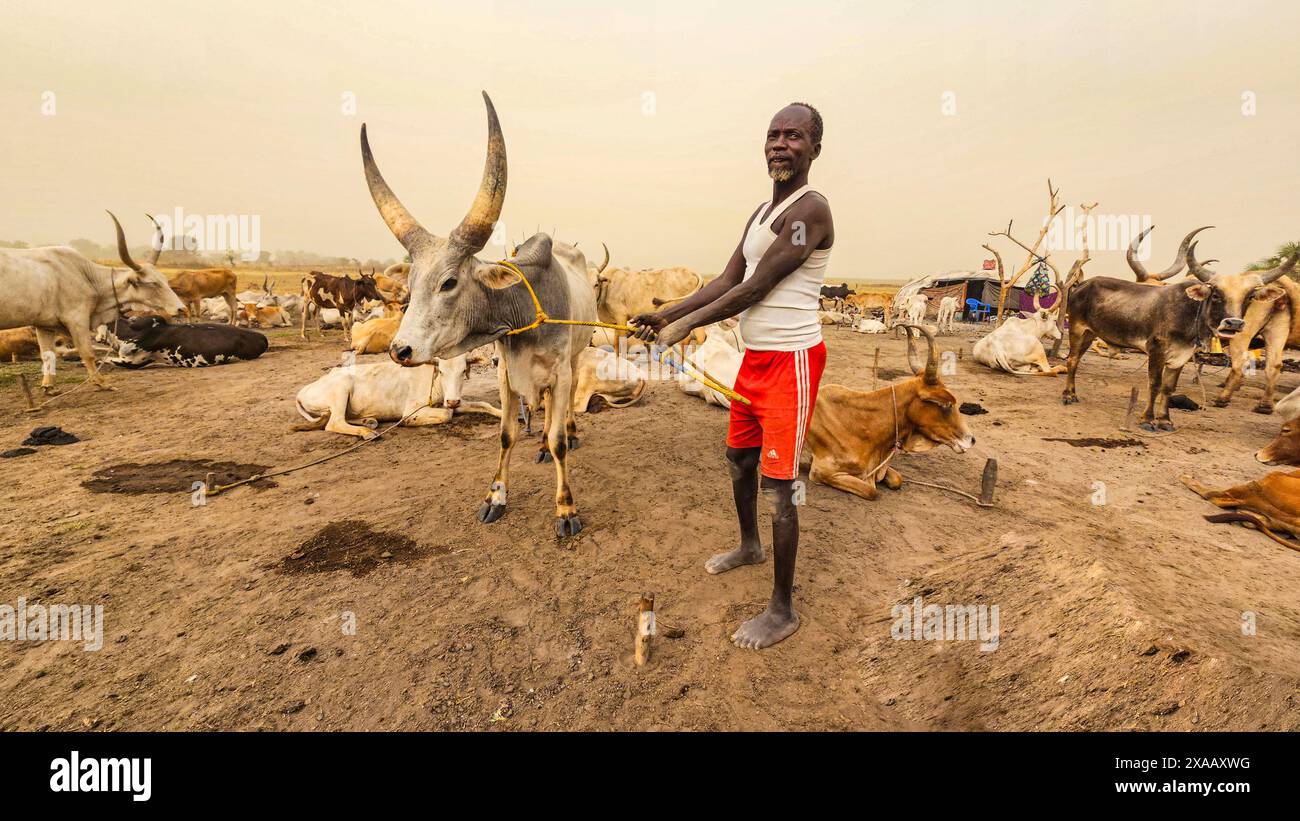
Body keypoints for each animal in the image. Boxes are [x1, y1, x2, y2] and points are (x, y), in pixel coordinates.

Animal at [0, 212, 186, 389]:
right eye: (153, 283)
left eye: (165, 280)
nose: (182, 309)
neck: (87, 276)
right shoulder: (77, 320)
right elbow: (87, 353)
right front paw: (102, 383)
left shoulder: (44, 325)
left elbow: (48, 355)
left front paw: (49, 386)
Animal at [291, 355, 499, 438]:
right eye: (441, 371)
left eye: (463, 370)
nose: (453, 400)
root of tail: (303, 391)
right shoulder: (412, 409)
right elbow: (446, 415)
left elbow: (484, 404)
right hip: (341, 389)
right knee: (334, 422)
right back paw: (366, 432)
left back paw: (369, 422)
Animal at [370, 92, 599, 536]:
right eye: (412, 283)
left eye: (448, 282)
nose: (400, 350)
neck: (524, 312)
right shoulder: (507, 373)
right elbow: (507, 435)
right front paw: (496, 497)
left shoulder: (561, 372)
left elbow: (560, 439)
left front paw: (565, 508)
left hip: (578, 357)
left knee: (562, 415)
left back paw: (567, 434)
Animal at [803, 326, 975, 500]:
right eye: (946, 404)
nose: (971, 439)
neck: (865, 425)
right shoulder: (821, 471)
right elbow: (872, 491)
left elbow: (898, 479)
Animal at [1061, 226, 1287, 431]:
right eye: (1215, 294)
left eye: (1249, 297)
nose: (1234, 323)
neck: (1190, 314)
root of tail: (1083, 285)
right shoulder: (1156, 351)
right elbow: (1155, 383)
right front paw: (1147, 419)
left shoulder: (1182, 356)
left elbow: (1168, 388)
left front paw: (1165, 420)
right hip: (1077, 329)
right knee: (1072, 360)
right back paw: (1068, 395)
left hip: (1090, 334)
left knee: (1076, 360)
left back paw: (1072, 392)